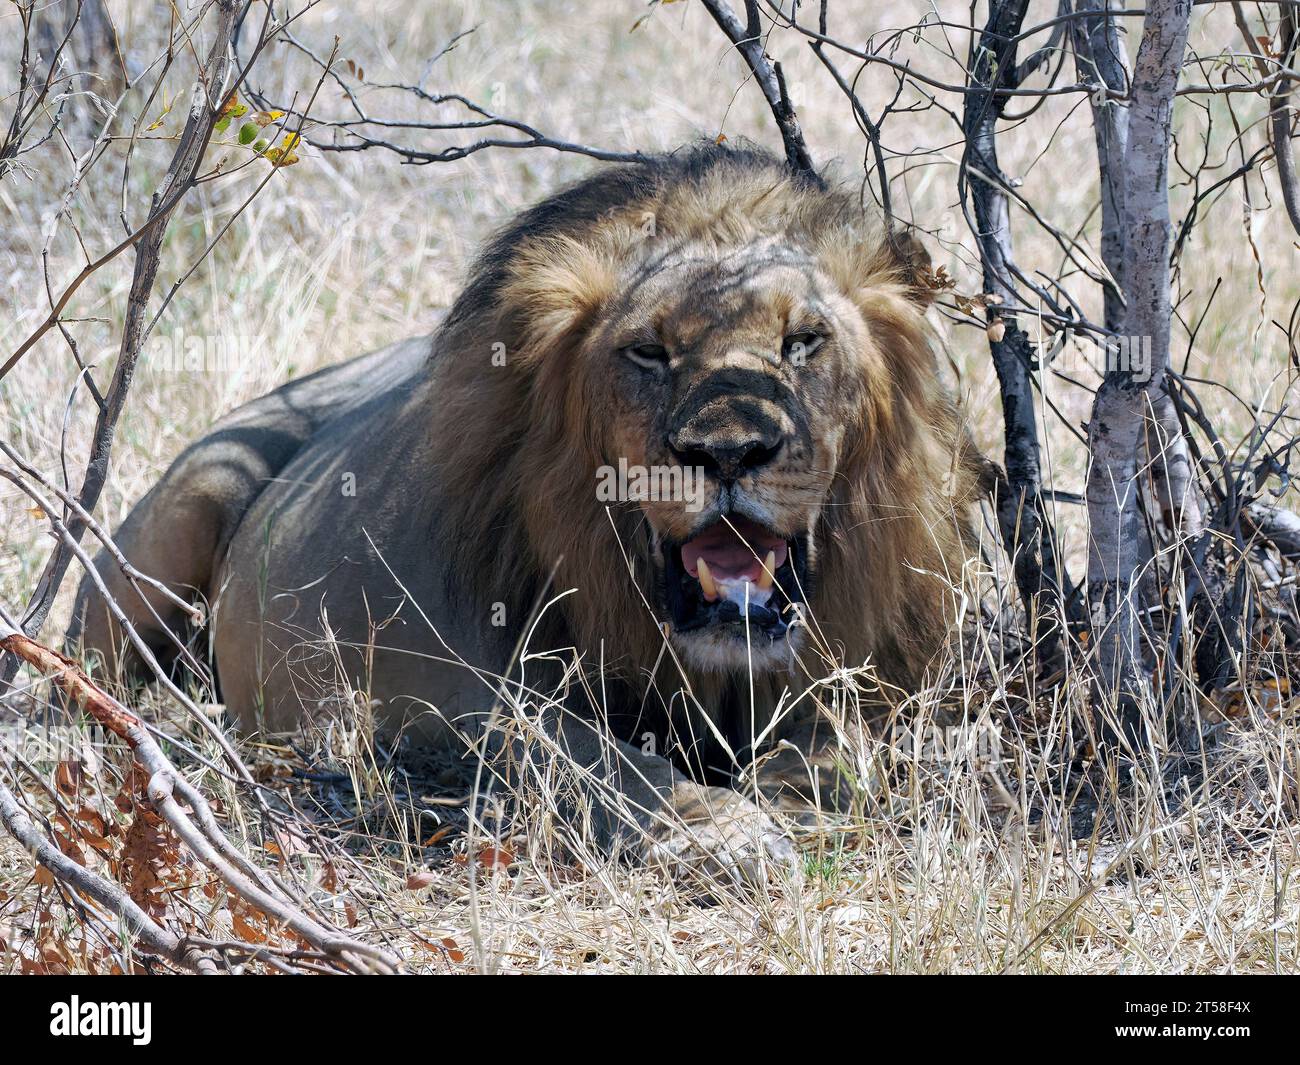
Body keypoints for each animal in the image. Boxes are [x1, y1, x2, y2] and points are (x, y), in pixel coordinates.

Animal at [72, 144, 981, 885]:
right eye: (648, 352)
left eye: (803, 342)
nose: (728, 452)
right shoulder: (464, 698)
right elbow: (608, 764)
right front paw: (727, 834)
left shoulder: (863, 674)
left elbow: (840, 742)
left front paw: (799, 800)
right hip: (185, 508)